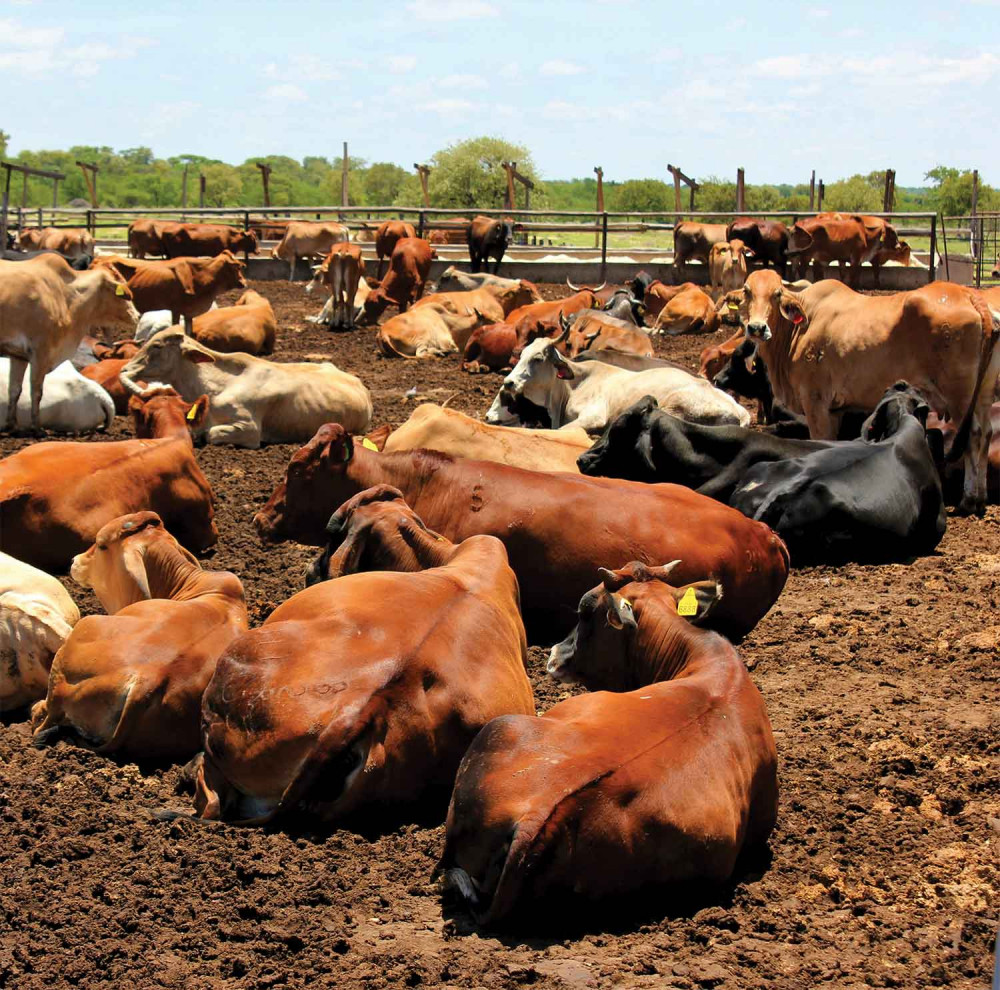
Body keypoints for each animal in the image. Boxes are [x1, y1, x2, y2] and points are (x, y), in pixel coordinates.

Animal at [0, 254, 138, 434]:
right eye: (123, 295)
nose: (137, 315)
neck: (66, 296)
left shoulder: (18, 355)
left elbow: (15, 389)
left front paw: (12, 425)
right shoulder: (41, 351)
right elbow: (36, 391)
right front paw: (37, 428)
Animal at [734, 270, 1000, 514]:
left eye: (777, 293)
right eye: (747, 291)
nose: (757, 328)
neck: (799, 328)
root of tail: (969, 295)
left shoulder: (816, 402)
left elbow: (819, 441)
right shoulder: (836, 409)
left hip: (960, 396)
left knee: (973, 435)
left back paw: (969, 499)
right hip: (984, 393)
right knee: (986, 434)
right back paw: (982, 496)